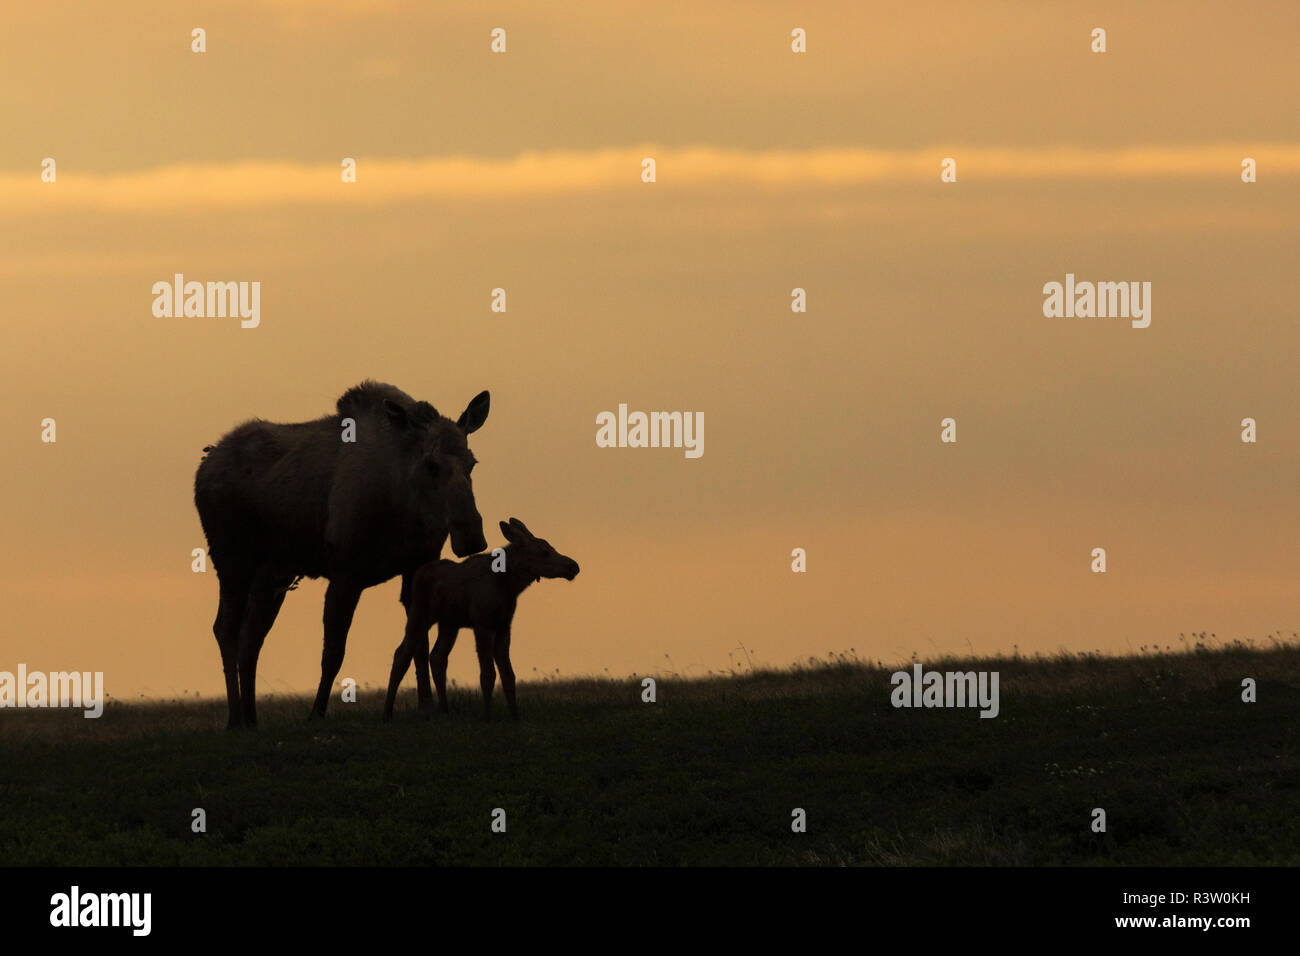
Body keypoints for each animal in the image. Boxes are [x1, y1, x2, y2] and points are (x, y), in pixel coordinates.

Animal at [383, 518, 579, 721]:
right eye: (544, 552)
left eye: (552, 548)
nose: (573, 566)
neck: (510, 586)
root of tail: (419, 574)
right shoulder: (483, 623)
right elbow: (488, 674)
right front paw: (487, 716)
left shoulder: (504, 626)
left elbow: (509, 675)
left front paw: (515, 716)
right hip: (420, 614)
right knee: (402, 653)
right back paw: (387, 713)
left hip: (449, 624)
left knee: (437, 657)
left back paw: (444, 710)